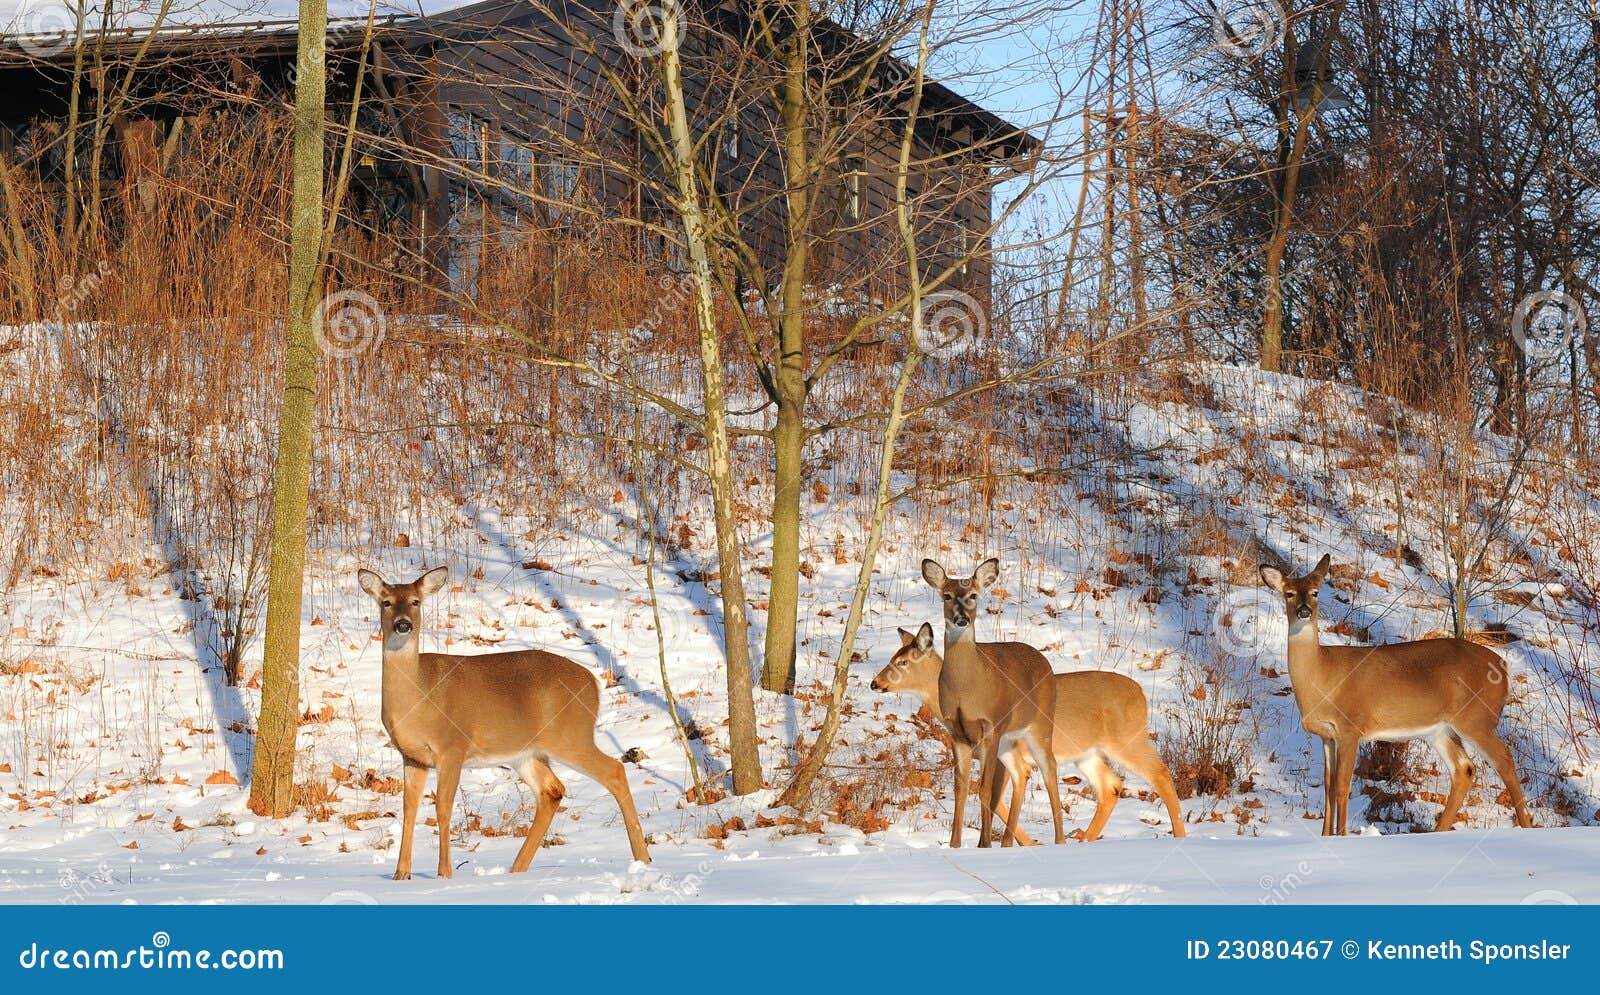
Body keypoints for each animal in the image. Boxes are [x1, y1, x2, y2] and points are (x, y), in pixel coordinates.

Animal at [357, 566, 651, 879]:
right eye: (386, 602)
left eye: (416, 602)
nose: (403, 625)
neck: (418, 697)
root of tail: (594, 684)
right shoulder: (412, 756)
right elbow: (409, 810)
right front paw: (401, 875)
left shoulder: (452, 747)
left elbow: (443, 808)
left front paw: (444, 873)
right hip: (528, 753)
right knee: (552, 791)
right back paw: (517, 869)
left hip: (571, 736)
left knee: (614, 770)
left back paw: (643, 858)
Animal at [872, 624, 1186, 843]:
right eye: (893, 657)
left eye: (902, 662)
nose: (875, 683)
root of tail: (1142, 695)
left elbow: (995, 798)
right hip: (1087, 754)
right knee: (1111, 786)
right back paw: (1083, 838)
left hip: (1126, 739)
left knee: (1160, 773)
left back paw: (1180, 835)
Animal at [920, 557, 1065, 848]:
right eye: (947, 595)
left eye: (974, 595)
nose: (961, 619)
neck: (967, 689)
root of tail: (1044, 661)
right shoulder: (956, 733)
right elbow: (961, 790)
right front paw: (955, 844)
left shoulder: (992, 725)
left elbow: (985, 790)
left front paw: (983, 844)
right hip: (1010, 739)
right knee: (1022, 772)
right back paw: (1008, 842)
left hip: (1040, 725)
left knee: (1050, 770)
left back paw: (1060, 840)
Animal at [1260, 554, 1533, 836]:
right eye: (1289, 593)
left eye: (1315, 592)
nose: (1304, 611)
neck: (1322, 675)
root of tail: (1503, 667)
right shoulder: (1327, 736)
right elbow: (1328, 787)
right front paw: (1326, 836)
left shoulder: (1350, 727)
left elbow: (1342, 787)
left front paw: (1342, 836)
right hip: (1440, 729)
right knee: (1464, 769)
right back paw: (1438, 832)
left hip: (1476, 717)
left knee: (1504, 760)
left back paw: (1527, 826)